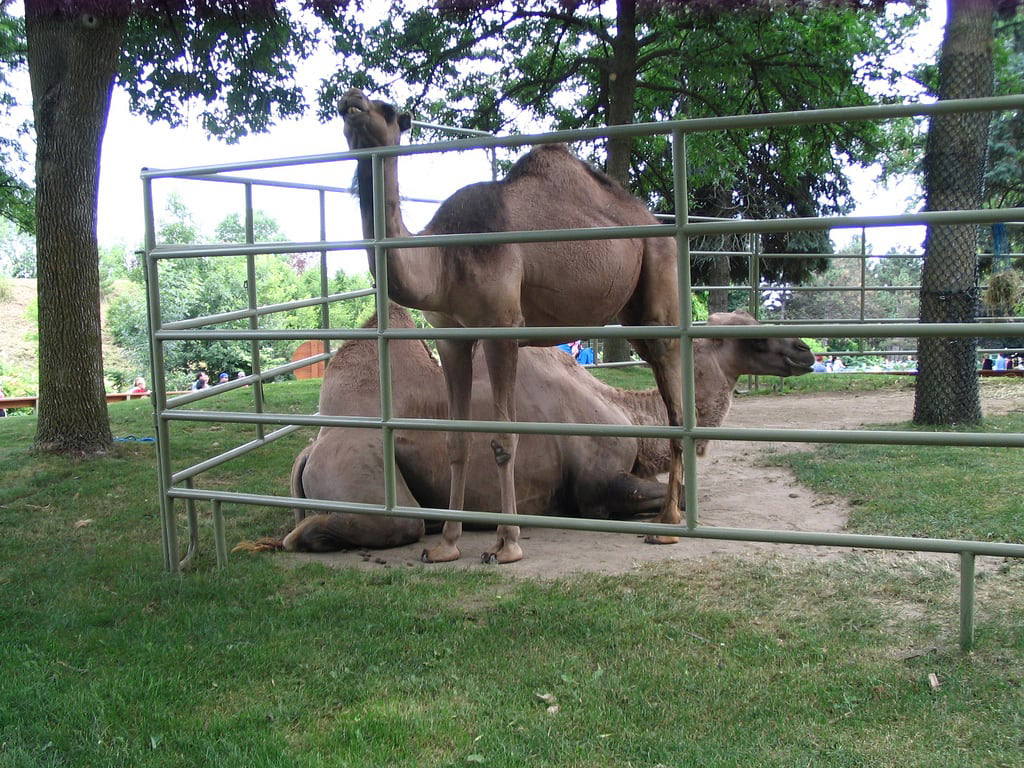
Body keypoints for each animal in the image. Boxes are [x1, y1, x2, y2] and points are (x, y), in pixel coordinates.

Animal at [282, 305, 814, 553]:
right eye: (754, 338)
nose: (805, 351)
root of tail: (311, 449)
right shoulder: (595, 486)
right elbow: (655, 495)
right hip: (361, 462)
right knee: (394, 523)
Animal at [340, 88, 759, 563]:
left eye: (389, 110)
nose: (351, 99)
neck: (442, 258)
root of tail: (660, 225)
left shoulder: (502, 325)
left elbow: (504, 440)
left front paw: (506, 544)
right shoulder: (450, 337)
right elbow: (456, 440)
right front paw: (446, 545)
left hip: (662, 287)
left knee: (675, 403)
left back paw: (668, 525)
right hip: (634, 319)